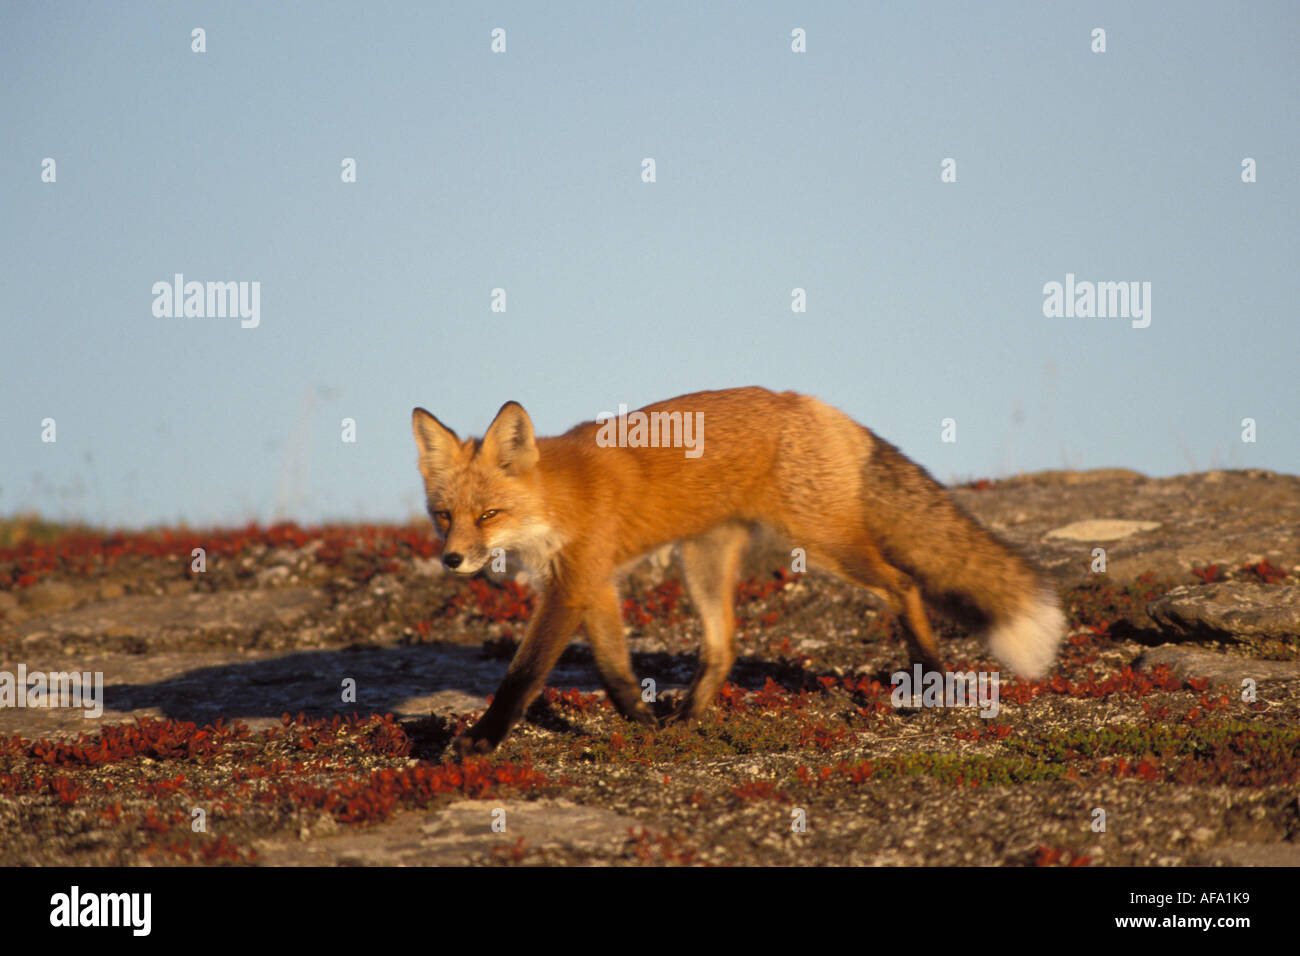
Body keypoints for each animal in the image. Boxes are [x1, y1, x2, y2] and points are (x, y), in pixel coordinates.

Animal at [411, 387, 1065, 755]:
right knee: (723, 647)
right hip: (701, 558)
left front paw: (480, 740)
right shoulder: (592, 583)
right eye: (444, 516)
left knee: (904, 584)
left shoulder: (573, 586)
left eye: (488, 514)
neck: (555, 500)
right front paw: (644, 722)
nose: (452, 559)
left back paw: (929, 678)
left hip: (825, 543)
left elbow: (522, 675)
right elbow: (615, 669)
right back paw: (687, 719)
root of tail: (812, 404)